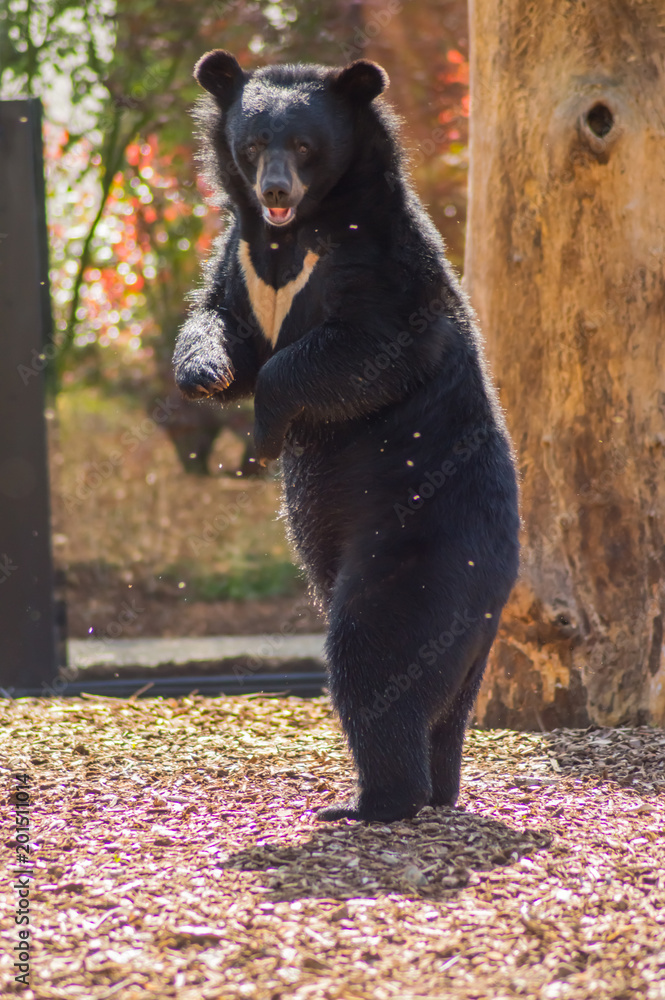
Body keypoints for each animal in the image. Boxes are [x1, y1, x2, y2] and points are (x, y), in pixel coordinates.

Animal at [173, 50, 520, 822]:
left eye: (304, 146)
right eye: (252, 145)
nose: (274, 189)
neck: (294, 232)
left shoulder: (382, 266)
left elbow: (362, 349)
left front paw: (265, 436)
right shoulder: (241, 260)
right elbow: (220, 321)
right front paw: (202, 375)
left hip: (418, 553)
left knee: (376, 660)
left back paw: (372, 802)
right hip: (465, 633)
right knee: (445, 705)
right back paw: (437, 789)